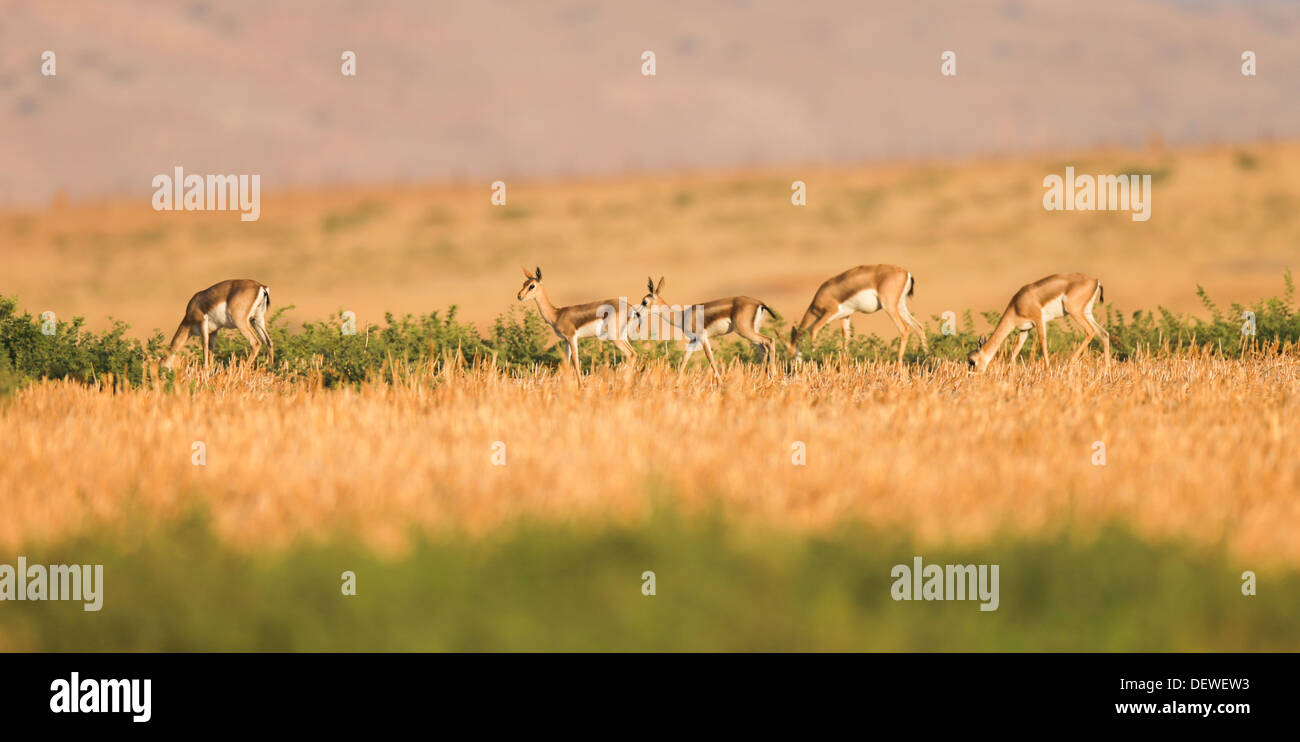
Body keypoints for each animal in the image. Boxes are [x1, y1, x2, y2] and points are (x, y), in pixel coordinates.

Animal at [635, 276, 779, 378]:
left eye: (644, 302)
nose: (636, 313)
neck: (682, 316)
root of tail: (759, 303)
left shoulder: (702, 337)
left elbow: (710, 359)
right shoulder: (693, 340)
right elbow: (685, 359)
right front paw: (676, 384)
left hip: (745, 332)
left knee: (770, 341)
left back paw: (773, 374)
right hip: (752, 333)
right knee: (763, 349)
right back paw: (761, 377)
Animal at [787, 264, 927, 363]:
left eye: (791, 349)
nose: (793, 366)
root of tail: (906, 274)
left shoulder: (831, 312)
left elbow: (814, 329)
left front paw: (813, 356)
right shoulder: (845, 316)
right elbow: (846, 339)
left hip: (890, 307)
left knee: (904, 328)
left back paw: (899, 362)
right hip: (901, 307)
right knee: (919, 327)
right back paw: (926, 357)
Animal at [966, 272, 1109, 373]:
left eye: (972, 361)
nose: (971, 375)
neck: (1016, 305)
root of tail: (1095, 280)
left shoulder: (1038, 319)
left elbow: (1042, 342)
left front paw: (1047, 369)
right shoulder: (1025, 329)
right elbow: (1016, 349)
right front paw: (1008, 371)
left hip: (1075, 312)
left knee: (1090, 331)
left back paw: (1069, 362)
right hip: (1087, 313)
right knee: (1104, 334)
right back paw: (1107, 370)